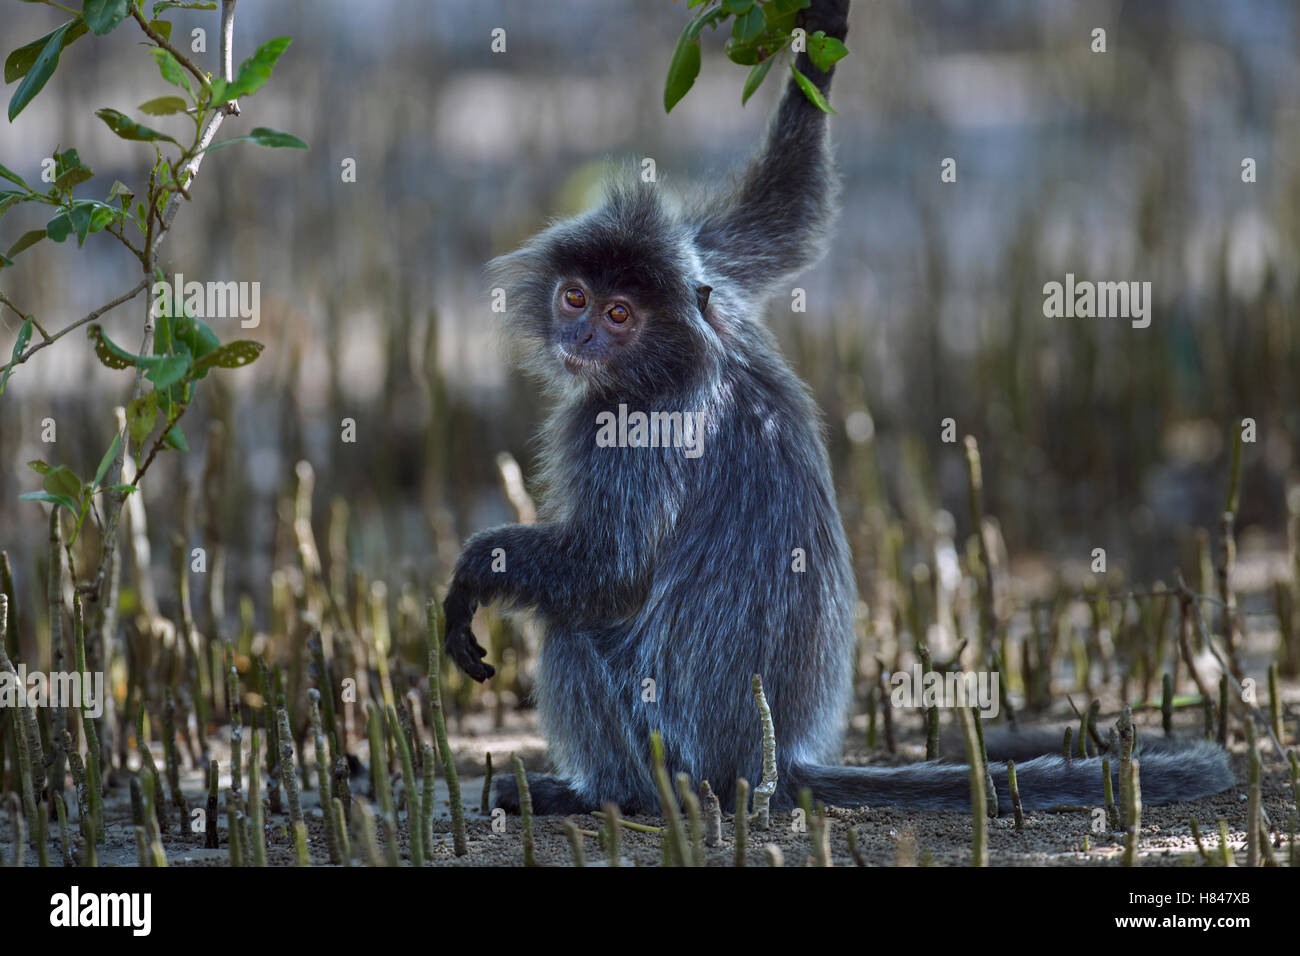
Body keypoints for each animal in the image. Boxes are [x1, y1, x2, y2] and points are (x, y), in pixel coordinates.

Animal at [442, 0, 1234, 816]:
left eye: (620, 314)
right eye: (575, 297)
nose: (582, 336)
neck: (688, 347)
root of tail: (776, 763)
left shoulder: (631, 420)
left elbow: (613, 571)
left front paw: (475, 570)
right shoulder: (713, 271)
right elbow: (790, 209)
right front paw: (819, 32)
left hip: (670, 749)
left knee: (573, 631)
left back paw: (606, 798)